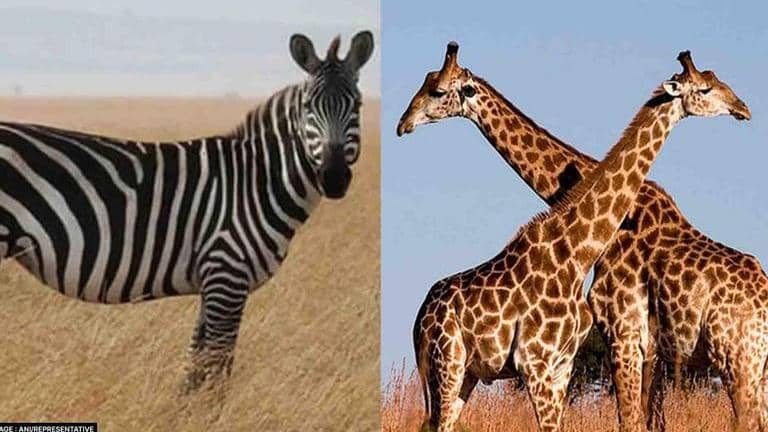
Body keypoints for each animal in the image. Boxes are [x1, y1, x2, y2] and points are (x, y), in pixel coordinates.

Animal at [0, 31, 374, 391]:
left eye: (357, 106)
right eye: (309, 107)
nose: (334, 177)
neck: (258, 180)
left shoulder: (214, 281)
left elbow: (196, 367)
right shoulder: (227, 274)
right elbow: (217, 369)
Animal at [398, 43, 766, 431]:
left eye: (437, 91)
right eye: (707, 87)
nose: (403, 123)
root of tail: (420, 317)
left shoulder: (603, 345)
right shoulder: (603, 346)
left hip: (739, 358)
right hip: (451, 364)